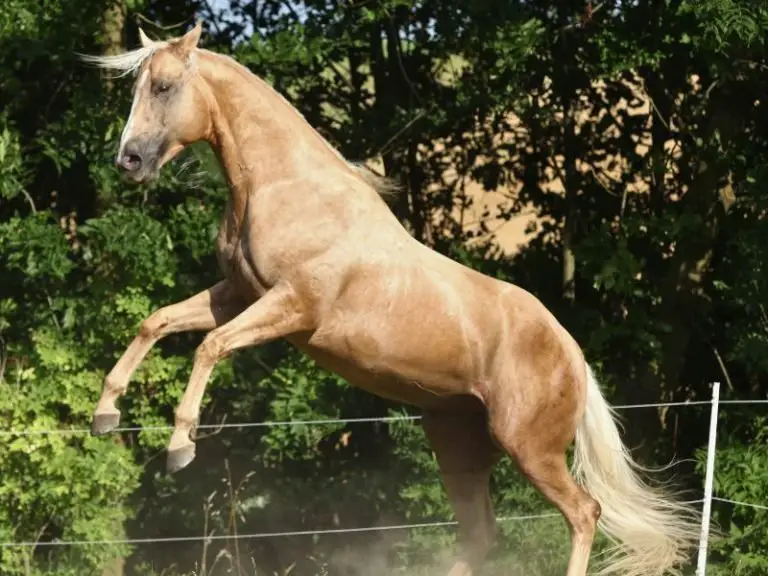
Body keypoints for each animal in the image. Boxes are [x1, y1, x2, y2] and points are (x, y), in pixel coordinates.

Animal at [82, 23, 700, 576]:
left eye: (164, 86)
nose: (128, 161)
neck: (287, 188)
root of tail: (574, 357)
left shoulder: (290, 307)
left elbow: (209, 346)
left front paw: (180, 446)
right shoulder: (237, 295)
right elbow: (157, 322)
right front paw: (105, 414)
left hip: (530, 448)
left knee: (583, 513)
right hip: (456, 444)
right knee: (482, 535)